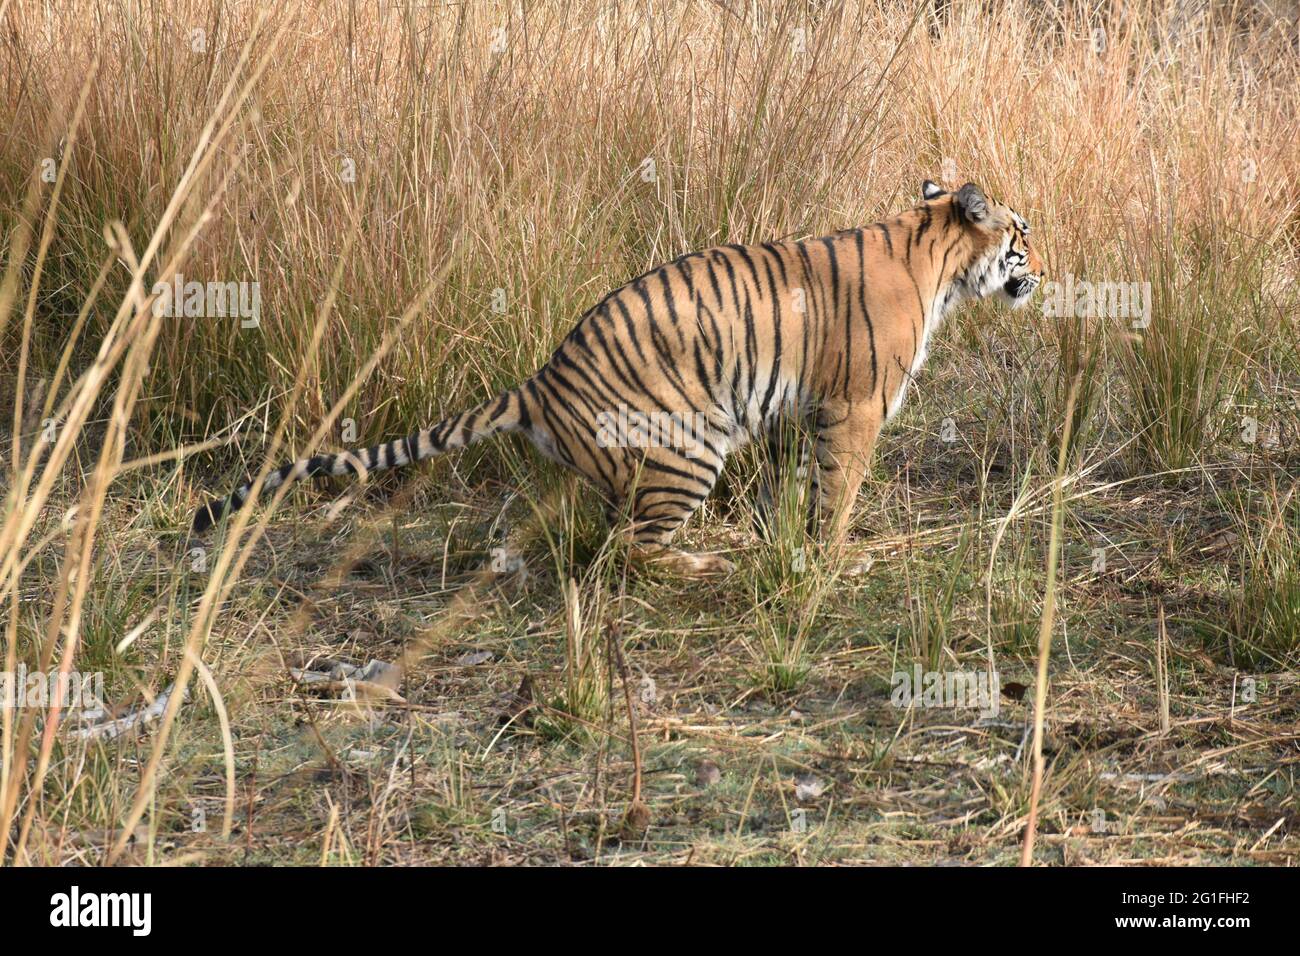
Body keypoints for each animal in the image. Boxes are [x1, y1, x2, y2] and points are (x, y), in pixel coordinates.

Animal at [190, 180, 1043, 576]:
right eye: (1023, 235)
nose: (1043, 265)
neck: (935, 258)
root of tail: (540, 380)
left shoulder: (802, 412)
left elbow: (797, 488)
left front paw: (790, 546)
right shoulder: (853, 407)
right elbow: (837, 493)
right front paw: (834, 557)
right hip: (688, 445)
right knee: (628, 551)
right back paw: (706, 564)